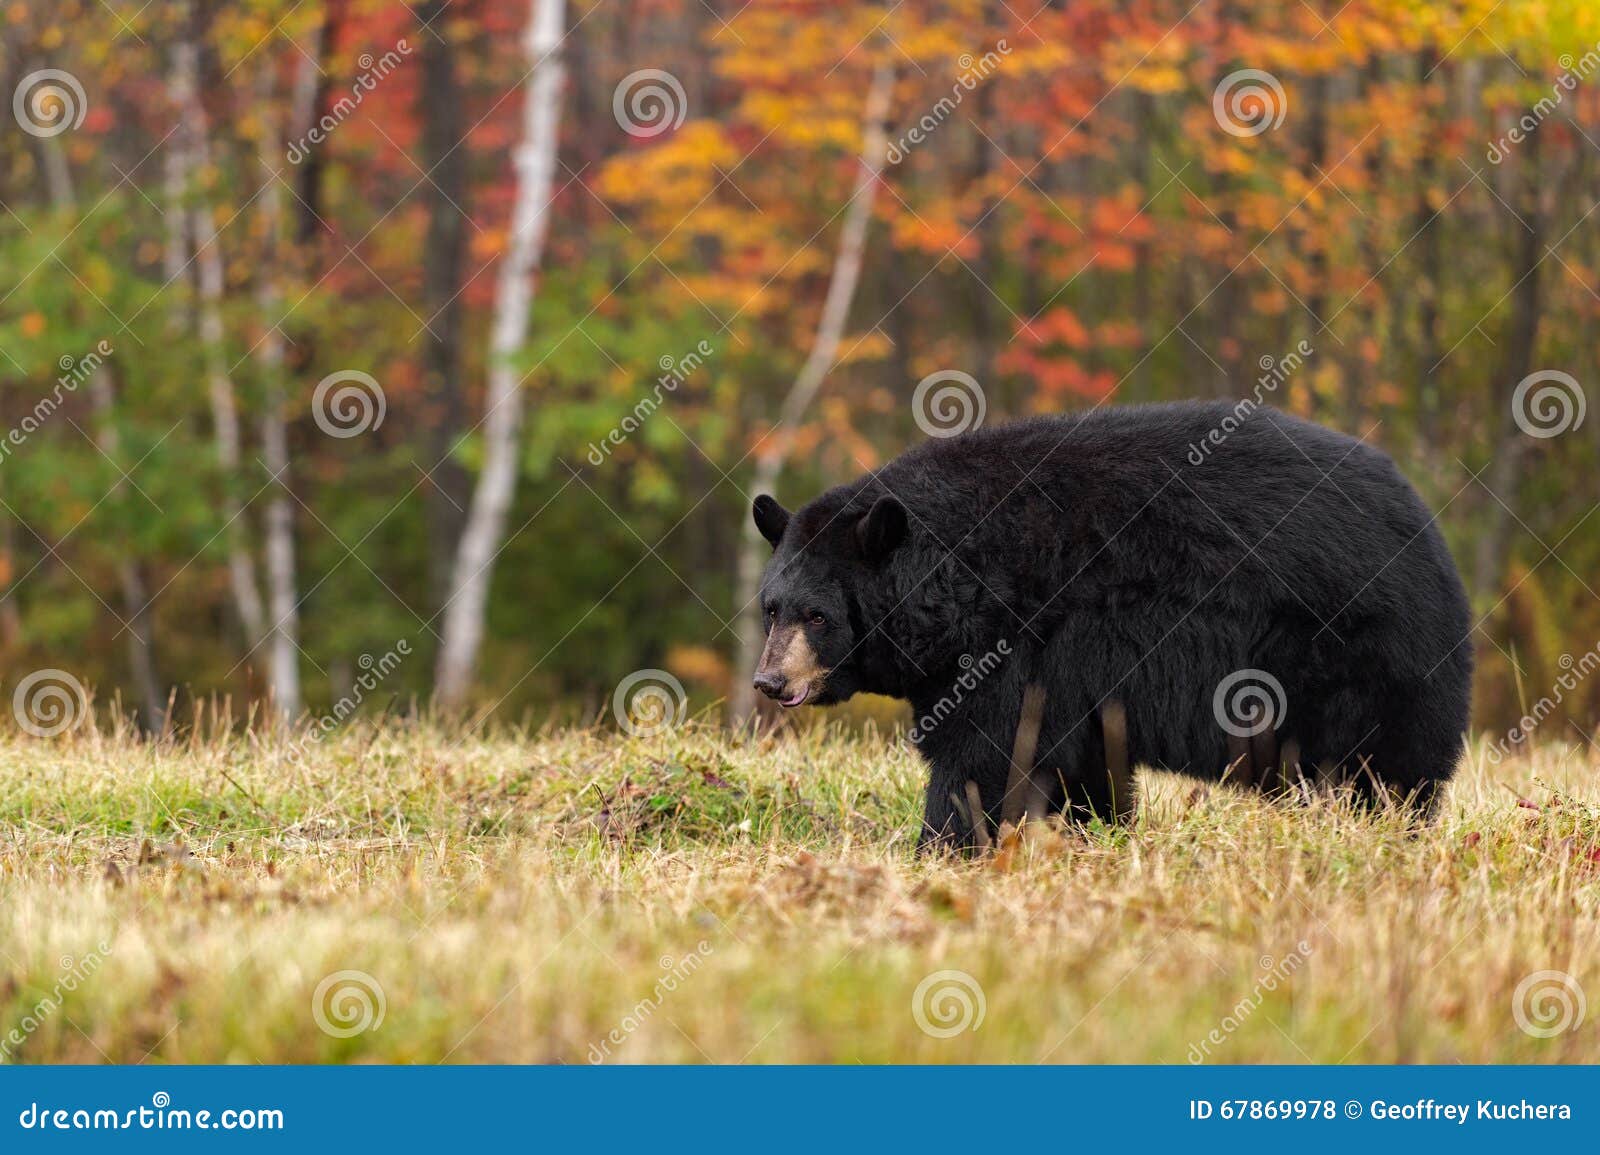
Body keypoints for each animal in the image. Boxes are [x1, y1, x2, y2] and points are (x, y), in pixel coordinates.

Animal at [749, 400, 1473, 851]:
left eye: (819, 614)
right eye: (771, 607)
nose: (770, 681)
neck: (958, 579)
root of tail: (1429, 530)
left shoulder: (1019, 645)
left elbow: (986, 752)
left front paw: (941, 847)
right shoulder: (1074, 678)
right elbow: (1078, 765)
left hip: (1356, 653)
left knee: (1384, 768)